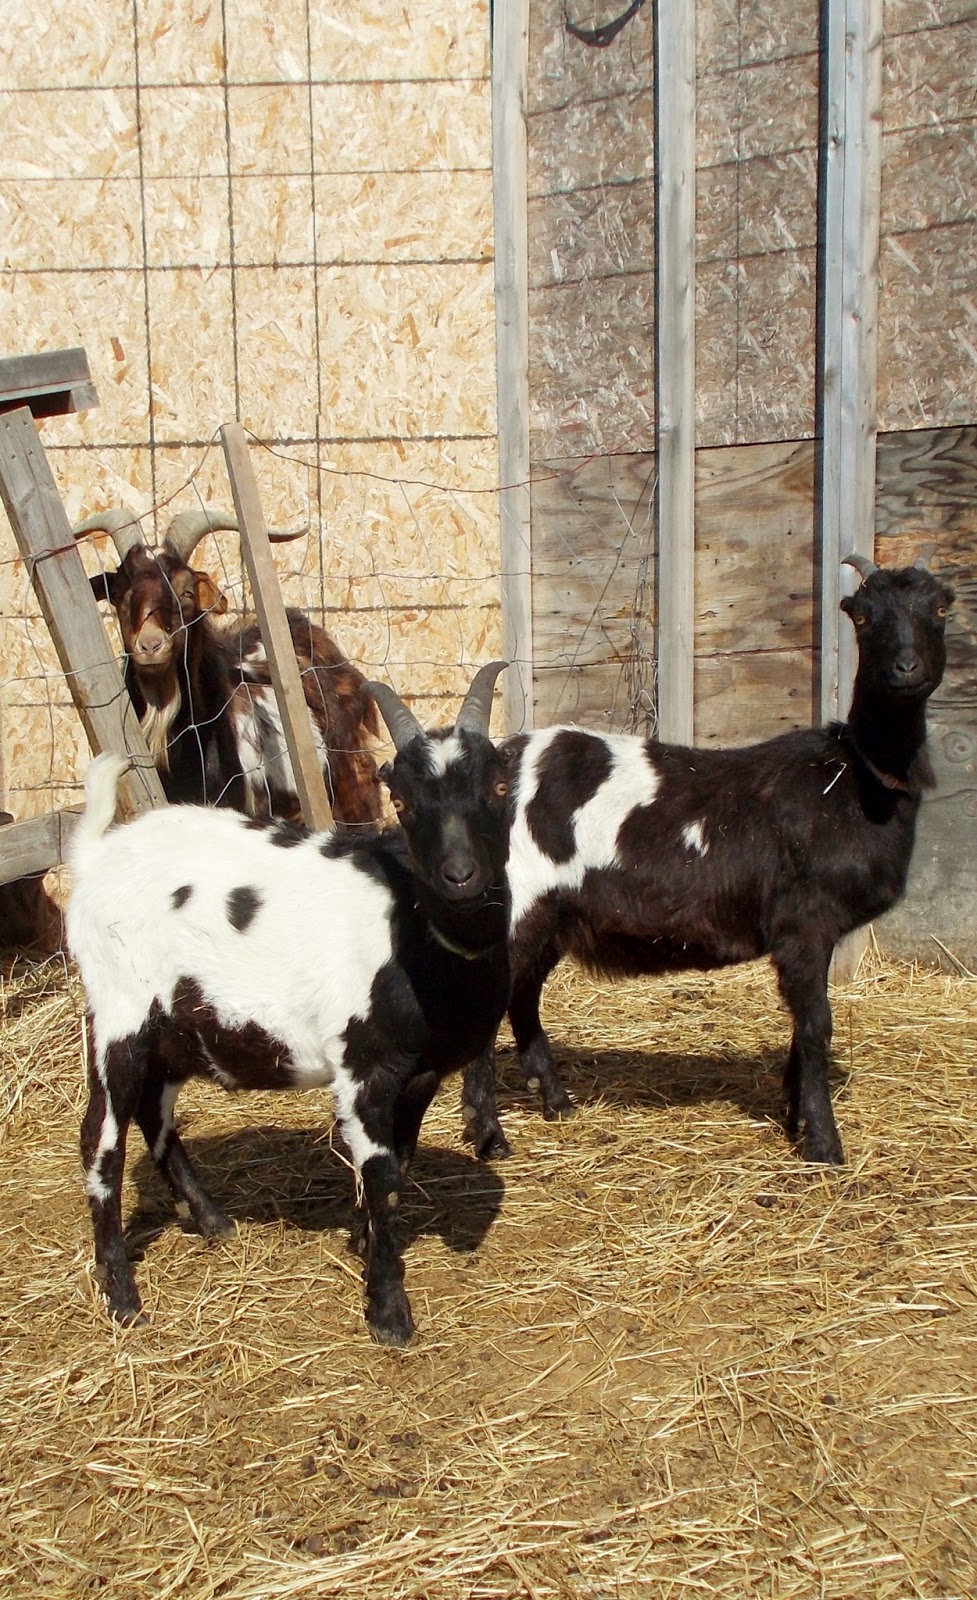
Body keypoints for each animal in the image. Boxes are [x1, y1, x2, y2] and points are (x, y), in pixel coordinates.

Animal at [66, 662, 511, 1346]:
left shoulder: (420, 1072)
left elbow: (399, 1167)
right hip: (118, 1012)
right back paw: (121, 1297)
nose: (460, 876)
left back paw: (213, 1221)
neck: (411, 928)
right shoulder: (362, 1067)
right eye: (403, 803)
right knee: (101, 1141)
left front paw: (365, 1247)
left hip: (173, 1027)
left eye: (499, 786)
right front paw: (389, 1314)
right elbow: (381, 1177)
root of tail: (93, 857)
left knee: (153, 1114)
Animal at [461, 557, 954, 1167]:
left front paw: (793, 1116)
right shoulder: (803, 922)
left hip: (551, 916)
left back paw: (556, 1103)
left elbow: (801, 1027)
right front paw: (823, 1144)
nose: (905, 669)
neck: (854, 780)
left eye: (940, 607)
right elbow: (816, 1026)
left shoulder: (807, 935)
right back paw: (491, 1137)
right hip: (512, 904)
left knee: (523, 998)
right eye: (863, 616)